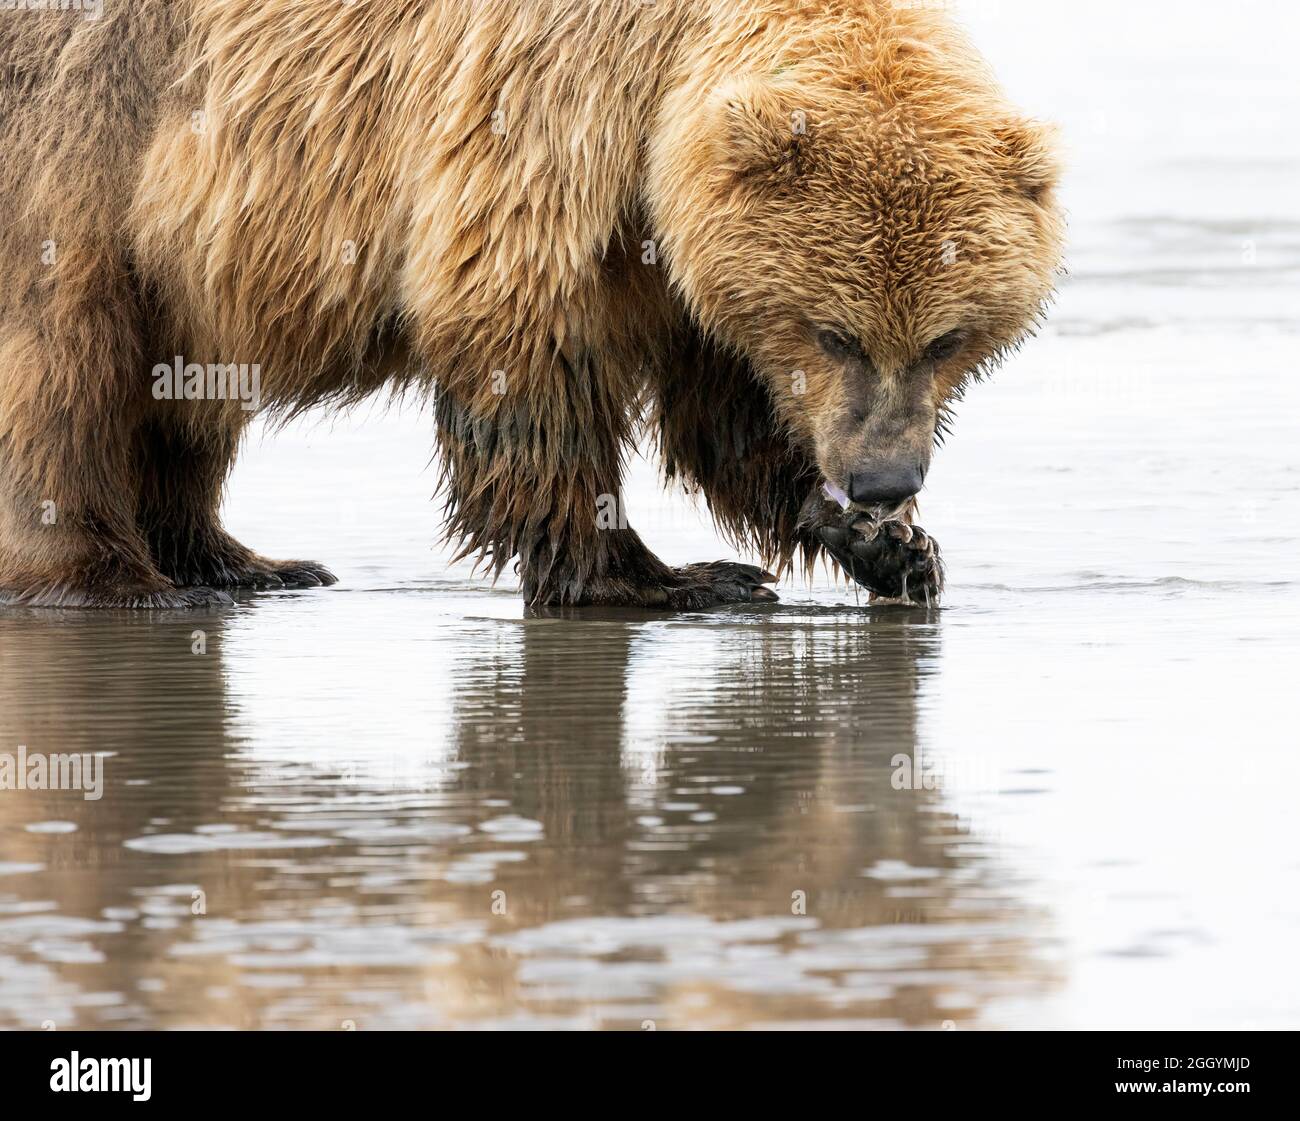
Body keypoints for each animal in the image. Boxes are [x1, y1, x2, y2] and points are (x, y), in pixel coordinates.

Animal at [0, 1, 1063, 609]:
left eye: (948, 339)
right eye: (835, 332)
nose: (884, 479)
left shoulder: (679, 257)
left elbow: (721, 405)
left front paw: (892, 548)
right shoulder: (543, 114)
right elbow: (521, 336)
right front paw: (657, 575)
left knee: (185, 393)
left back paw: (237, 561)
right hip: (85, 129)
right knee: (66, 360)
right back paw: (115, 578)